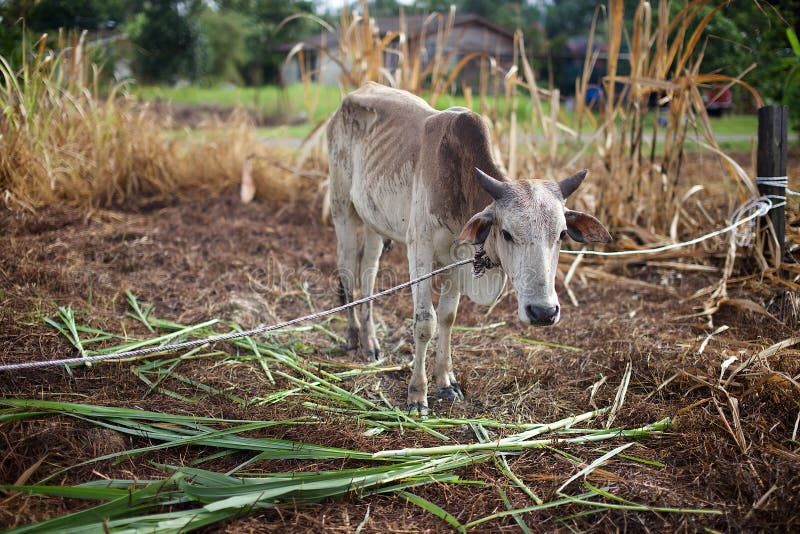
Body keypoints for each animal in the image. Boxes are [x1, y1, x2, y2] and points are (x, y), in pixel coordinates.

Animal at [327, 82, 611, 415]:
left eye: (562, 234)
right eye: (507, 233)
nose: (543, 312)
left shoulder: (458, 258)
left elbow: (448, 318)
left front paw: (446, 383)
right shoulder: (420, 250)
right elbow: (426, 322)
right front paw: (417, 395)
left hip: (374, 222)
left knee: (368, 274)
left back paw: (371, 343)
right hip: (342, 209)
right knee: (347, 271)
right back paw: (353, 339)